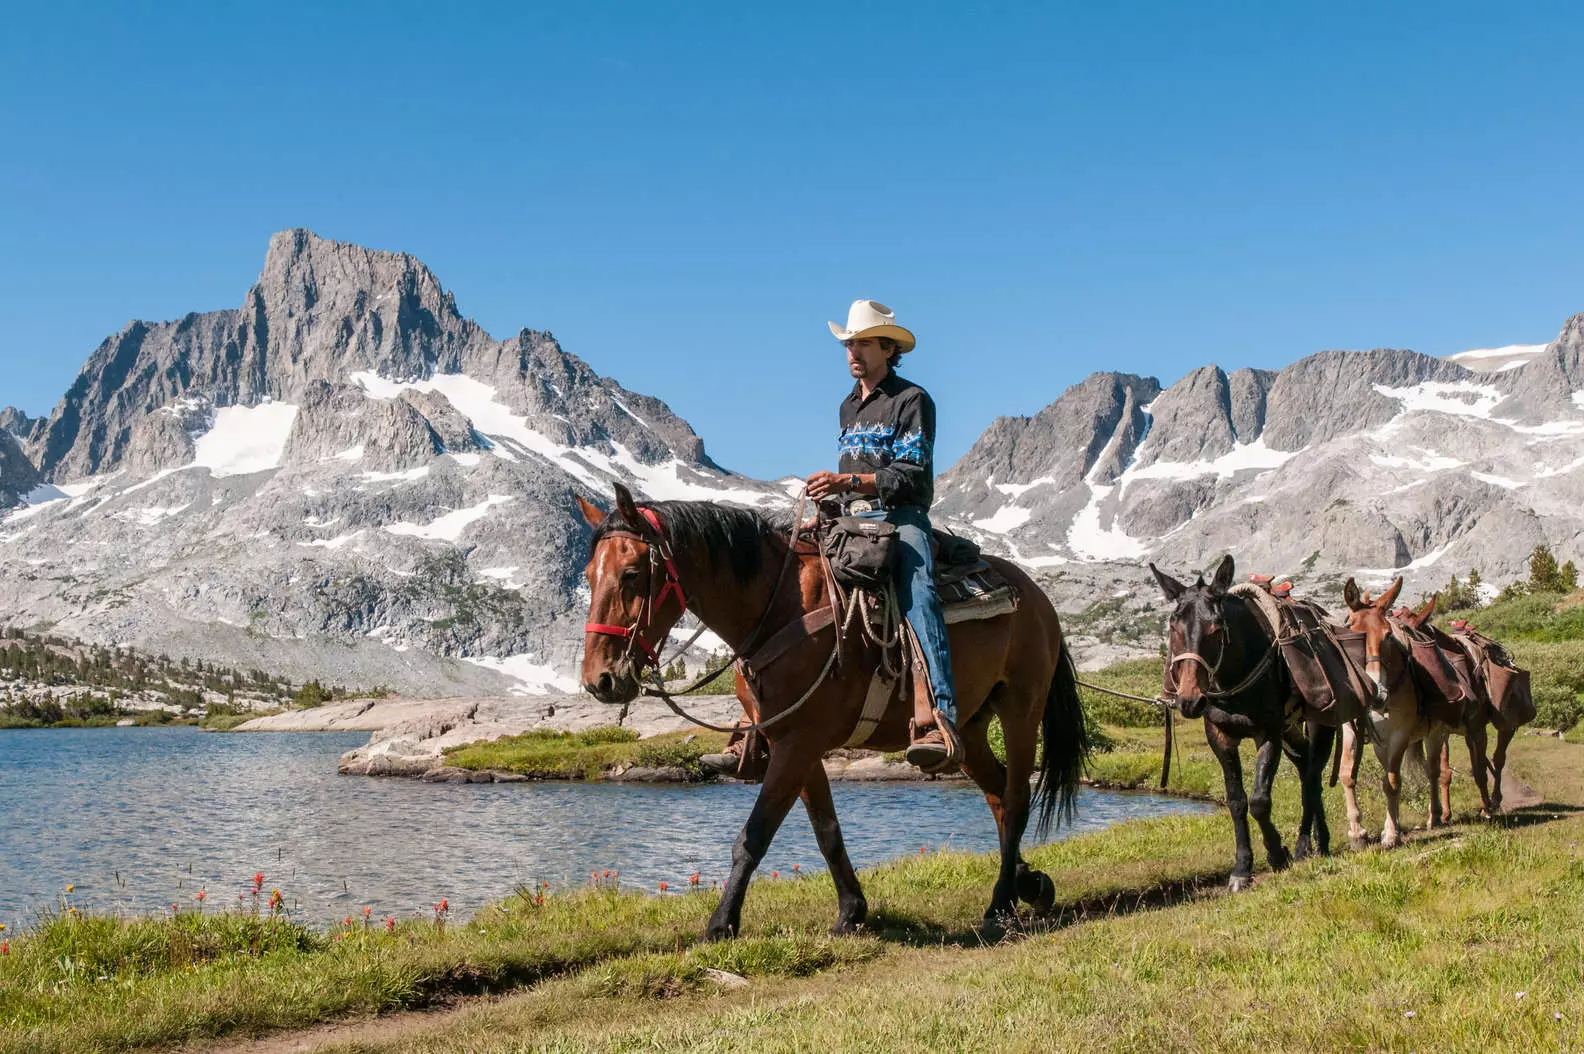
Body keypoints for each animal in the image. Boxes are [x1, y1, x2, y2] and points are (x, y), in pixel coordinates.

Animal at [579, 481, 1089, 931]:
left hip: (1021, 708)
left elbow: (753, 835)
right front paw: (852, 911)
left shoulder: (798, 743)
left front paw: (721, 924)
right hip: (971, 727)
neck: (779, 608)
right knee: (998, 794)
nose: (599, 681)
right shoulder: (795, 743)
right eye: (587, 576)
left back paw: (1000, 906)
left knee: (1017, 797)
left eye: (631, 574)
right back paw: (1029, 884)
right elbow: (827, 831)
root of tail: (1036, 597)